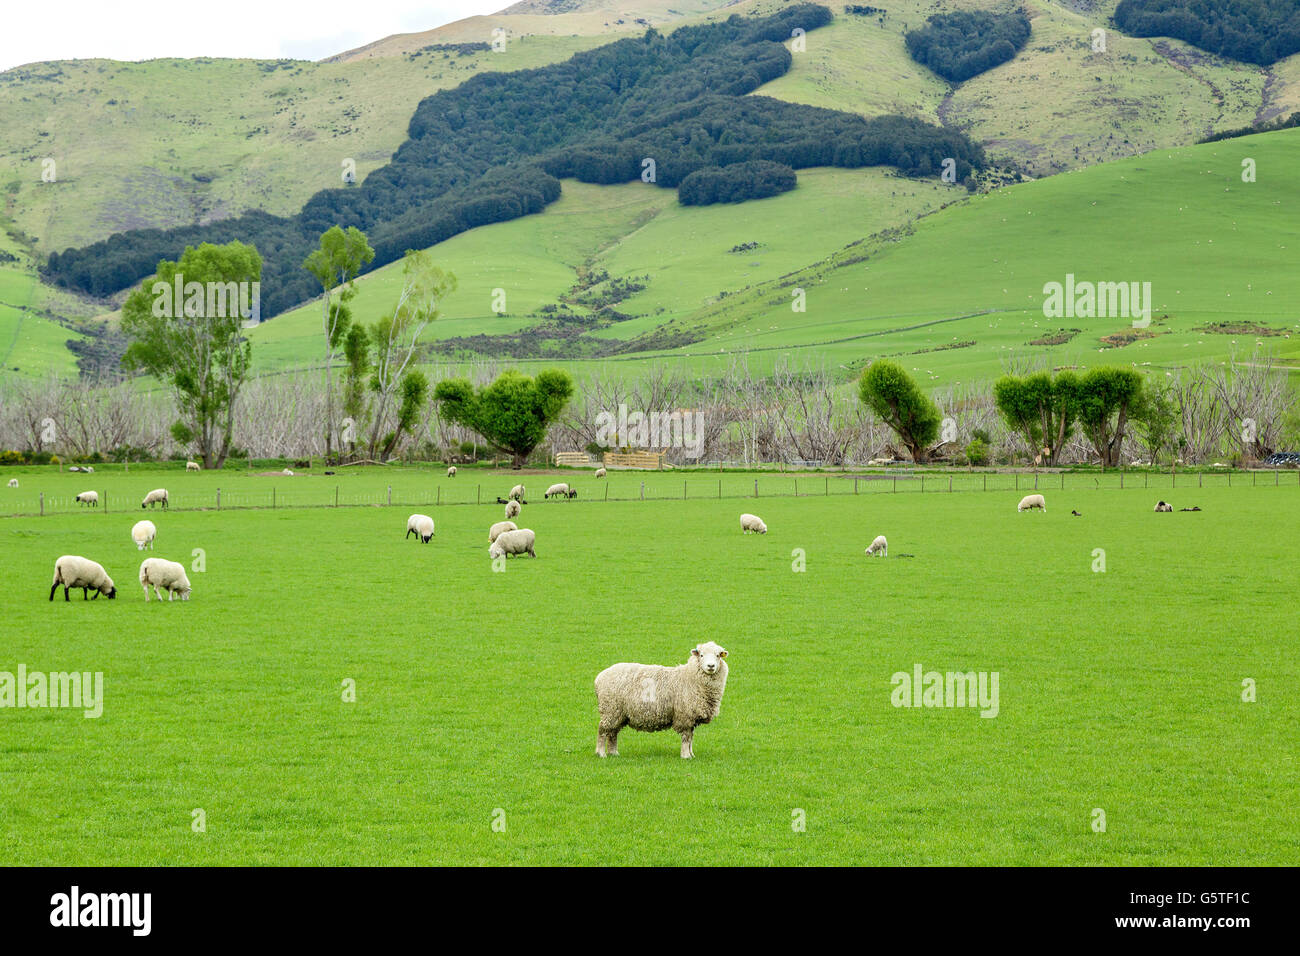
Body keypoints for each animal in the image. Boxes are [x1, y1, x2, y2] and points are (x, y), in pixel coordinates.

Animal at [594, 641, 729, 759]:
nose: (711, 666)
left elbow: (691, 738)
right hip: (610, 709)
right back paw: (601, 753)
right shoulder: (685, 715)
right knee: (603, 730)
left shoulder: (692, 717)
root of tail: (599, 677)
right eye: (701, 655)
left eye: (718, 655)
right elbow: (686, 738)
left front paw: (691, 755)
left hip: (618, 713)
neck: (690, 677)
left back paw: (613, 753)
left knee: (613, 733)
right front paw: (686, 756)